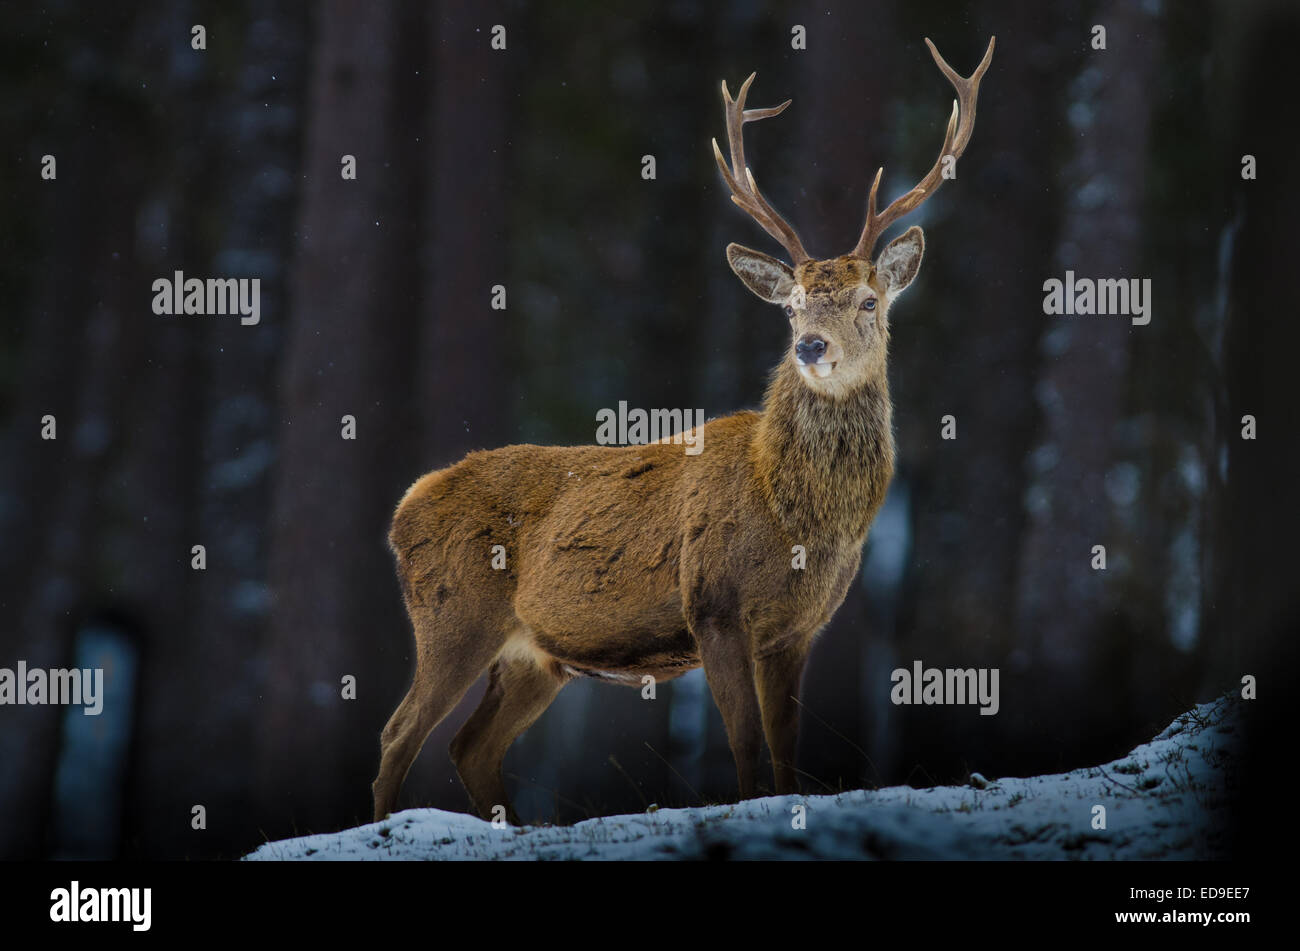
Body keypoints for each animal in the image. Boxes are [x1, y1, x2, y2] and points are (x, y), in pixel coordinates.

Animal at [373, 36, 995, 825]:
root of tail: (404, 505)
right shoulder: (714, 605)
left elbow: (787, 751)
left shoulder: (796, 629)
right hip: (451, 616)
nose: (810, 347)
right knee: (398, 732)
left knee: (470, 746)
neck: (796, 516)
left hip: (533, 657)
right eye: (793, 305)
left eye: (867, 301)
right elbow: (746, 745)